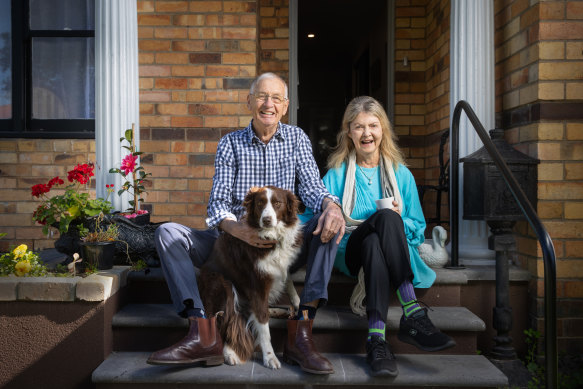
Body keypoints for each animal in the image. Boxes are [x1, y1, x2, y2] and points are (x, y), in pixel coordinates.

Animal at [200, 186, 302, 368]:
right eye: (260, 203)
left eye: (277, 203)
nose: (267, 220)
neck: (272, 236)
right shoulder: (257, 286)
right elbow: (263, 327)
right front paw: (269, 357)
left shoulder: (280, 268)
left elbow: (287, 278)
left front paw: (296, 301)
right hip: (222, 285)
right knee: (226, 321)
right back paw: (228, 353)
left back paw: (278, 311)